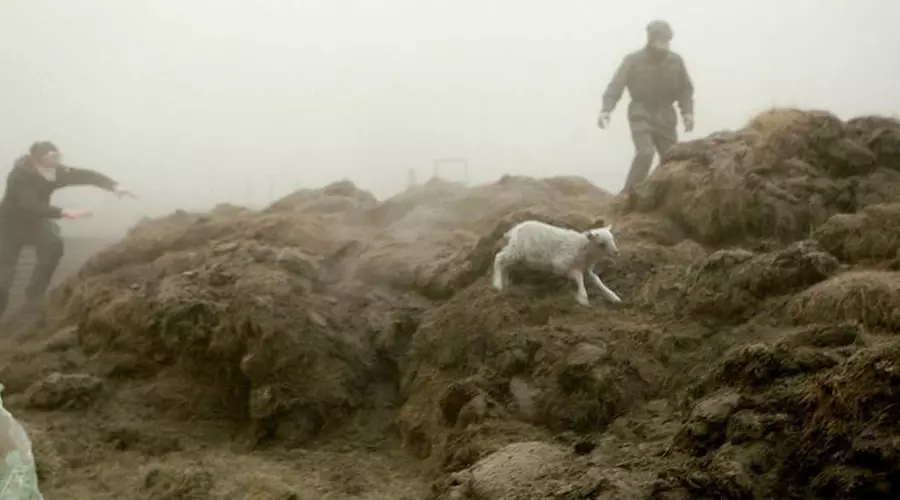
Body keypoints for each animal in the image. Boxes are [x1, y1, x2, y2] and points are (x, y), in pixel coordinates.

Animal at [488, 221, 624, 306]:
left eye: (612, 238)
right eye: (602, 243)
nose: (616, 252)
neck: (583, 249)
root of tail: (515, 230)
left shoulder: (587, 268)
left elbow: (597, 280)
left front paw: (613, 297)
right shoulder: (562, 265)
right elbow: (579, 277)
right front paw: (583, 297)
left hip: (520, 257)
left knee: (506, 266)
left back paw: (505, 283)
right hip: (517, 250)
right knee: (499, 258)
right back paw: (497, 285)